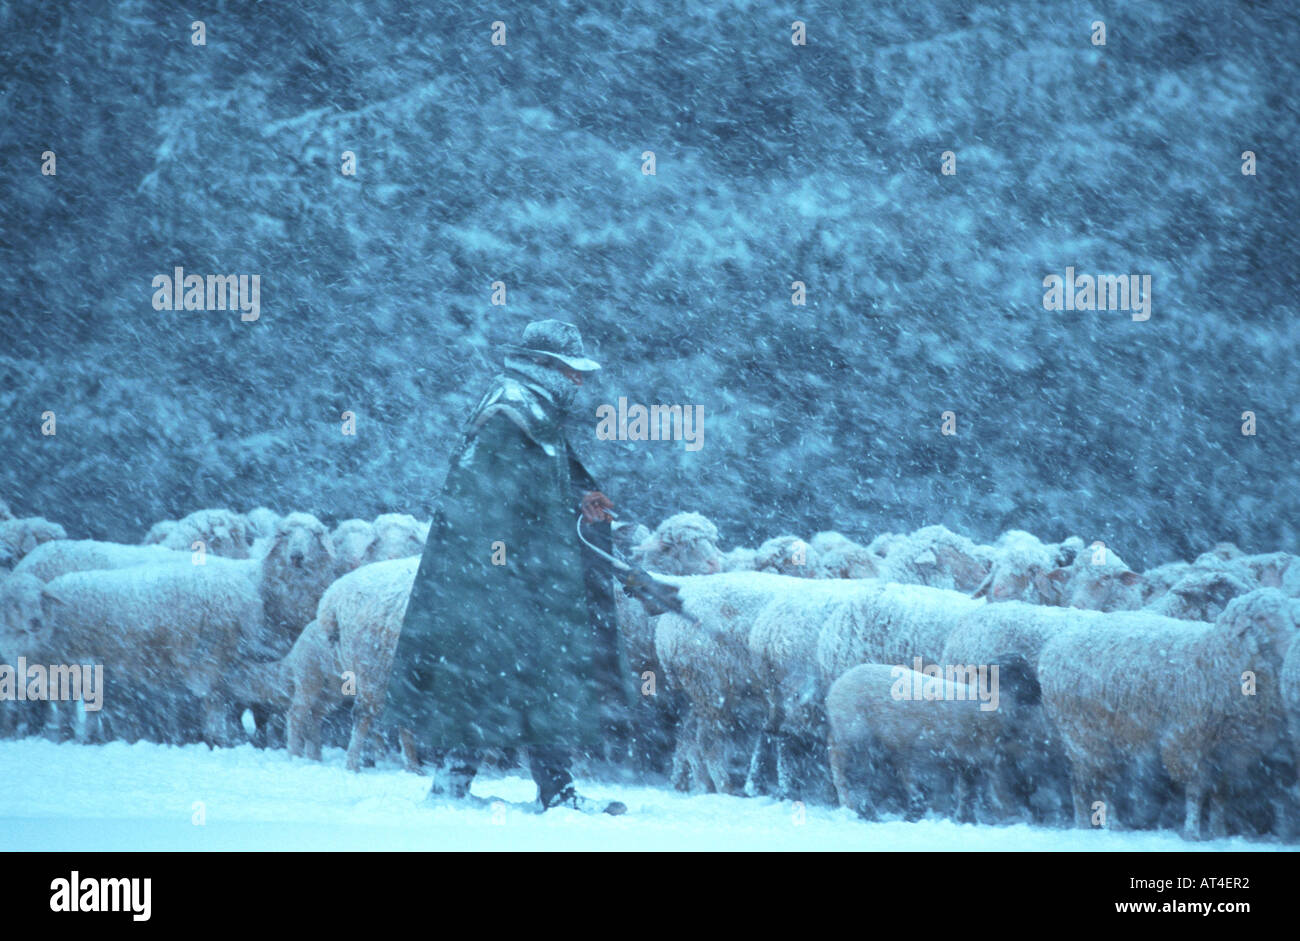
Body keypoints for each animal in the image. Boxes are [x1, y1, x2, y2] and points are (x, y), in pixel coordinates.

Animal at [825, 661, 1042, 822]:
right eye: (1017, 674)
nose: (1039, 694)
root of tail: (836, 685)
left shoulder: (970, 762)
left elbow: (968, 793)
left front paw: (965, 819)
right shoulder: (938, 753)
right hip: (855, 736)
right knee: (852, 776)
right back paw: (864, 811)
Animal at [1039, 589, 1299, 839]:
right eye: (1262, 618)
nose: (1289, 646)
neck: (1214, 655)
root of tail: (1054, 645)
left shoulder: (1233, 750)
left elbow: (1221, 793)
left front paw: (1219, 832)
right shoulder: (1187, 740)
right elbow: (1196, 790)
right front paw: (1192, 832)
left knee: (1098, 778)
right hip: (1082, 732)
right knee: (1087, 781)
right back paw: (1092, 823)